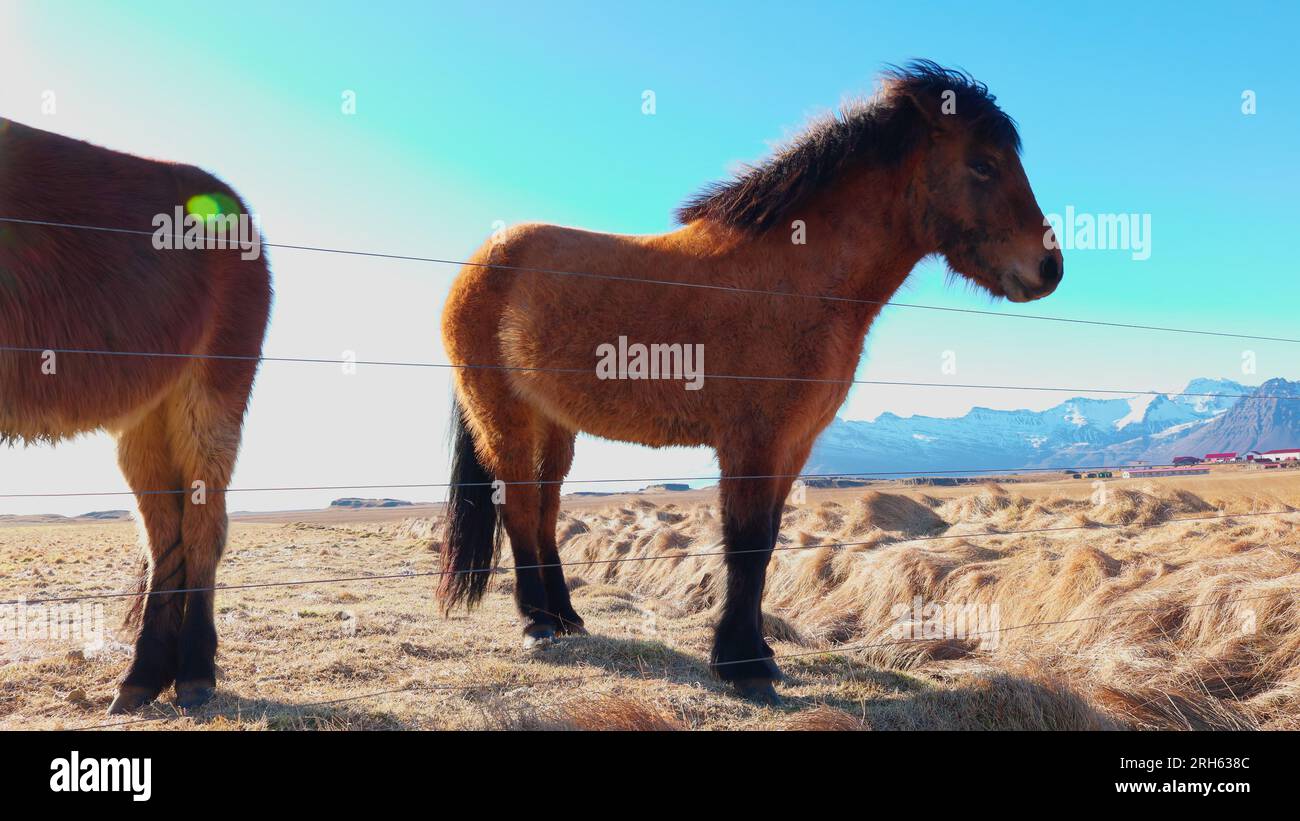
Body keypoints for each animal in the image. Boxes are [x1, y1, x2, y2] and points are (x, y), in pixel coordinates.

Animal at [0, 118, 272, 714]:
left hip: (208, 400)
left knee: (201, 528)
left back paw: (193, 674)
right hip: (146, 420)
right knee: (163, 532)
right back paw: (143, 676)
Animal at [438, 61, 1062, 702]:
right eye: (983, 163)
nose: (1050, 268)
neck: (793, 276)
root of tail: (481, 263)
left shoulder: (792, 445)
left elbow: (765, 544)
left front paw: (757, 652)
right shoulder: (752, 442)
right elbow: (745, 543)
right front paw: (742, 665)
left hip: (555, 425)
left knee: (543, 509)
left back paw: (564, 617)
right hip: (505, 419)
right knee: (516, 506)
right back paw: (536, 622)